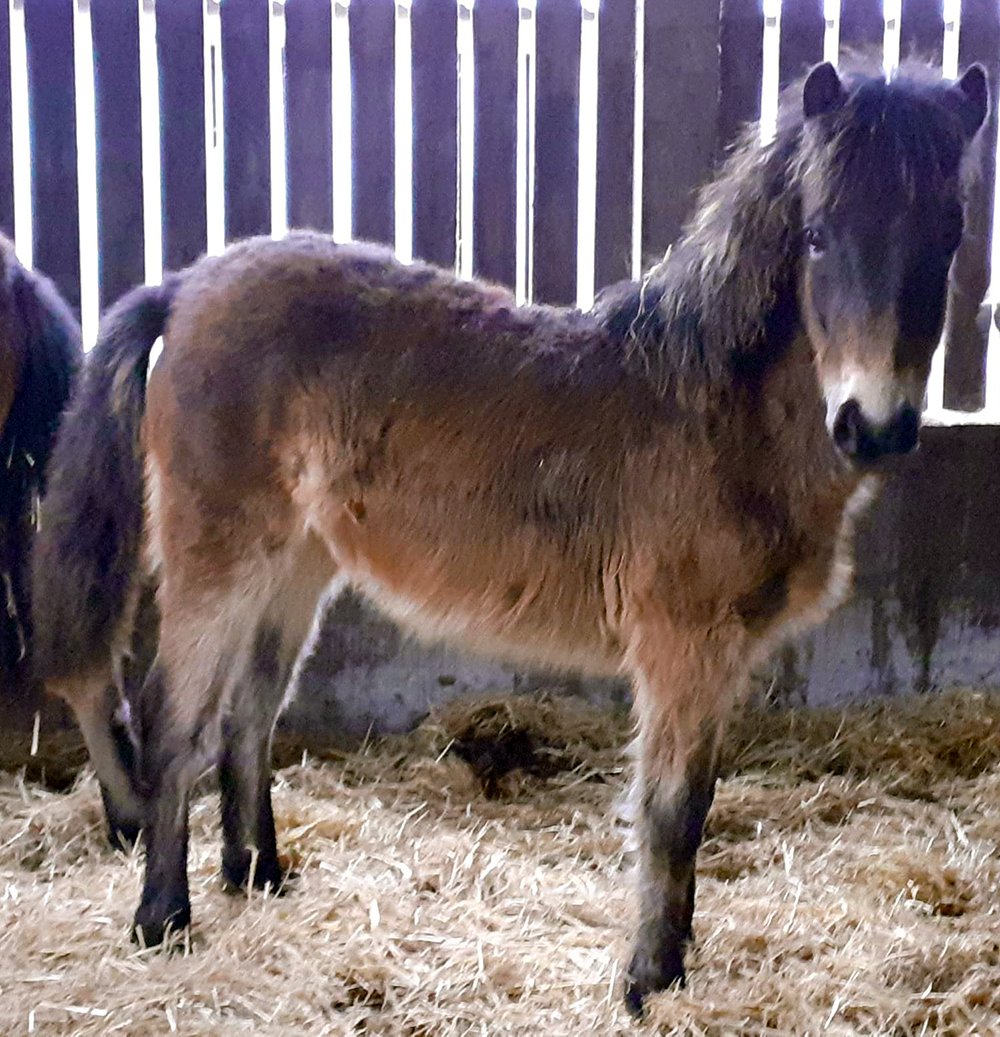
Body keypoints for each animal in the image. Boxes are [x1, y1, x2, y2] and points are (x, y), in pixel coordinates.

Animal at [31, 60, 987, 1015]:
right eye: (818, 236)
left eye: (948, 236)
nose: (876, 425)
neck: (712, 413)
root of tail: (186, 286)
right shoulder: (682, 646)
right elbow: (671, 812)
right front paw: (648, 981)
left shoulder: (719, 660)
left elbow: (698, 804)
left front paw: (673, 966)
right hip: (218, 552)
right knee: (175, 714)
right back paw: (163, 918)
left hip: (297, 561)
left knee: (250, 710)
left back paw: (258, 872)